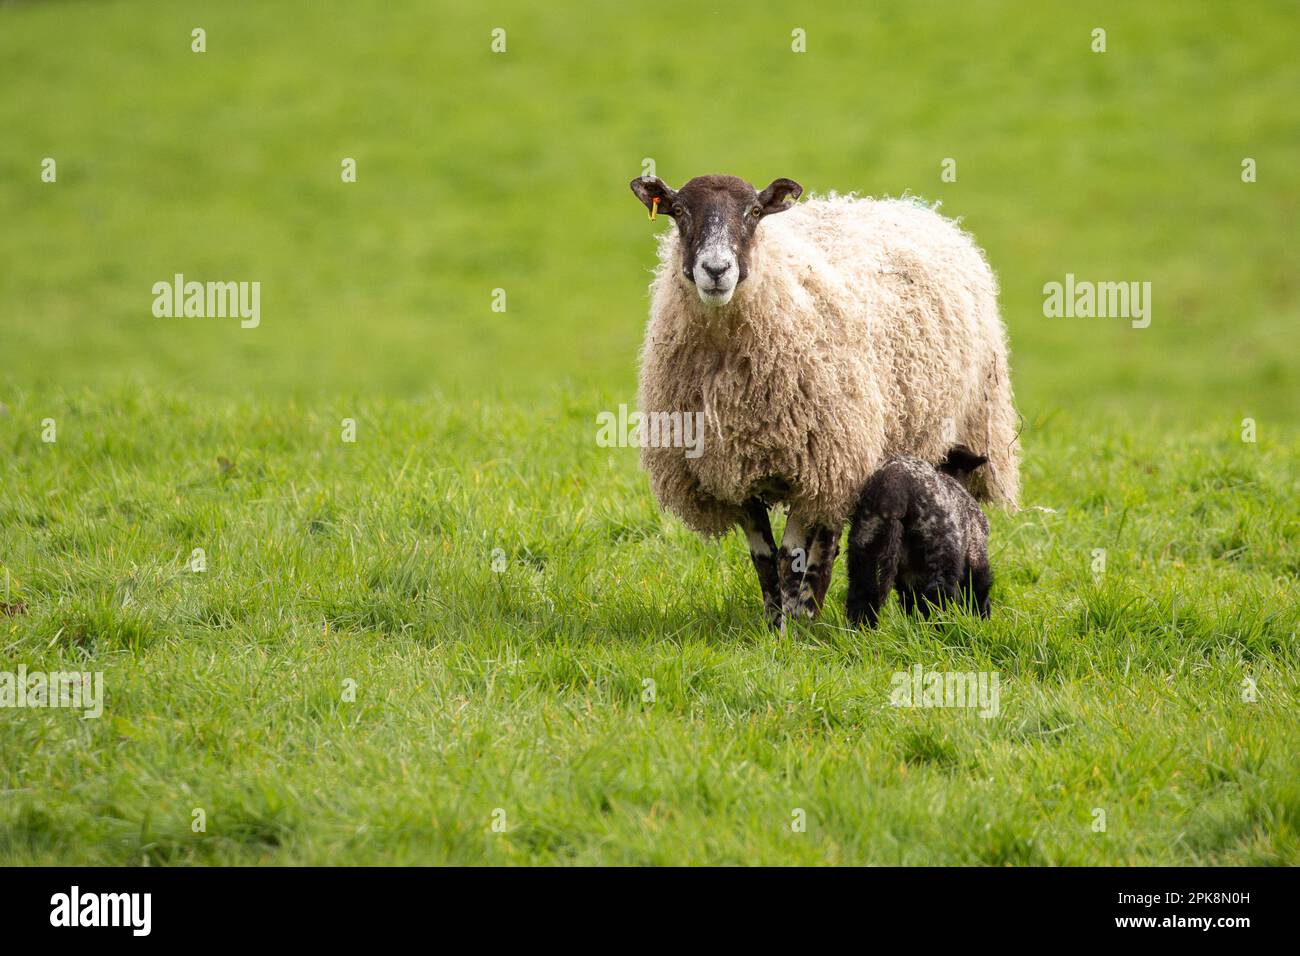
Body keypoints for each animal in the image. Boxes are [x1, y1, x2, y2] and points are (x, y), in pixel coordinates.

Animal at [845, 445, 992, 627]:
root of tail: (894, 485)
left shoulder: (910, 577)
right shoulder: (977, 554)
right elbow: (980, 592)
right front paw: (982, 621)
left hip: (864, 544)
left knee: (862, 594)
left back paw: (861, 630)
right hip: (941, 550)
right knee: (939, 597)